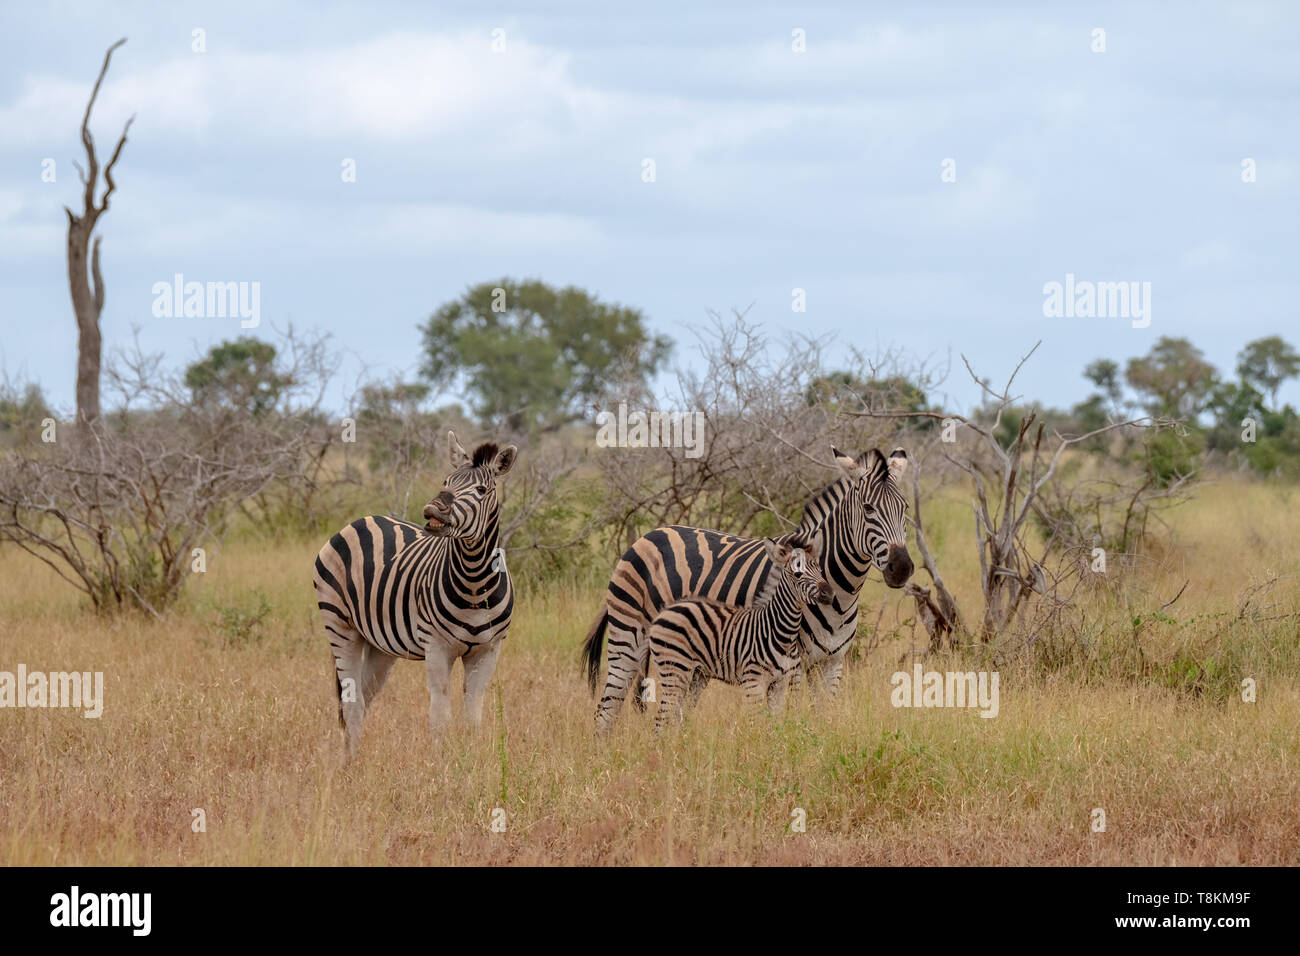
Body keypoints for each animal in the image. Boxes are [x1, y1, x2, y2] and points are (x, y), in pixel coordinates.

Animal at [313, 431, 516, 761]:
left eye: (482, 489)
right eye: (446, 481)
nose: (434, 509)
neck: (475, 581)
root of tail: (360, 520)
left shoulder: (489, 650)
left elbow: (472, 720)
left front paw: (474, 764)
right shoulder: (436, 647)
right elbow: (441, 720)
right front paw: (441, 767)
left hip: (379, 644)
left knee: (364, 696)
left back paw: (355, 759)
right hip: (339, 625)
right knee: (351, 701)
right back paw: (348, 765)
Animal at [648, 533, 832, 732]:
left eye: (820, 569)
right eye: (798, 574)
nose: (829, 594)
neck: (782, 634)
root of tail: (664, 612)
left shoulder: (780, 683)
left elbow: (775, 724)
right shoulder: (753, 681)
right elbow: (755, 722)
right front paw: (755, 739)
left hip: (696, 674)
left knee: (676, 716)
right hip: (674, 669)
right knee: (660, 720)